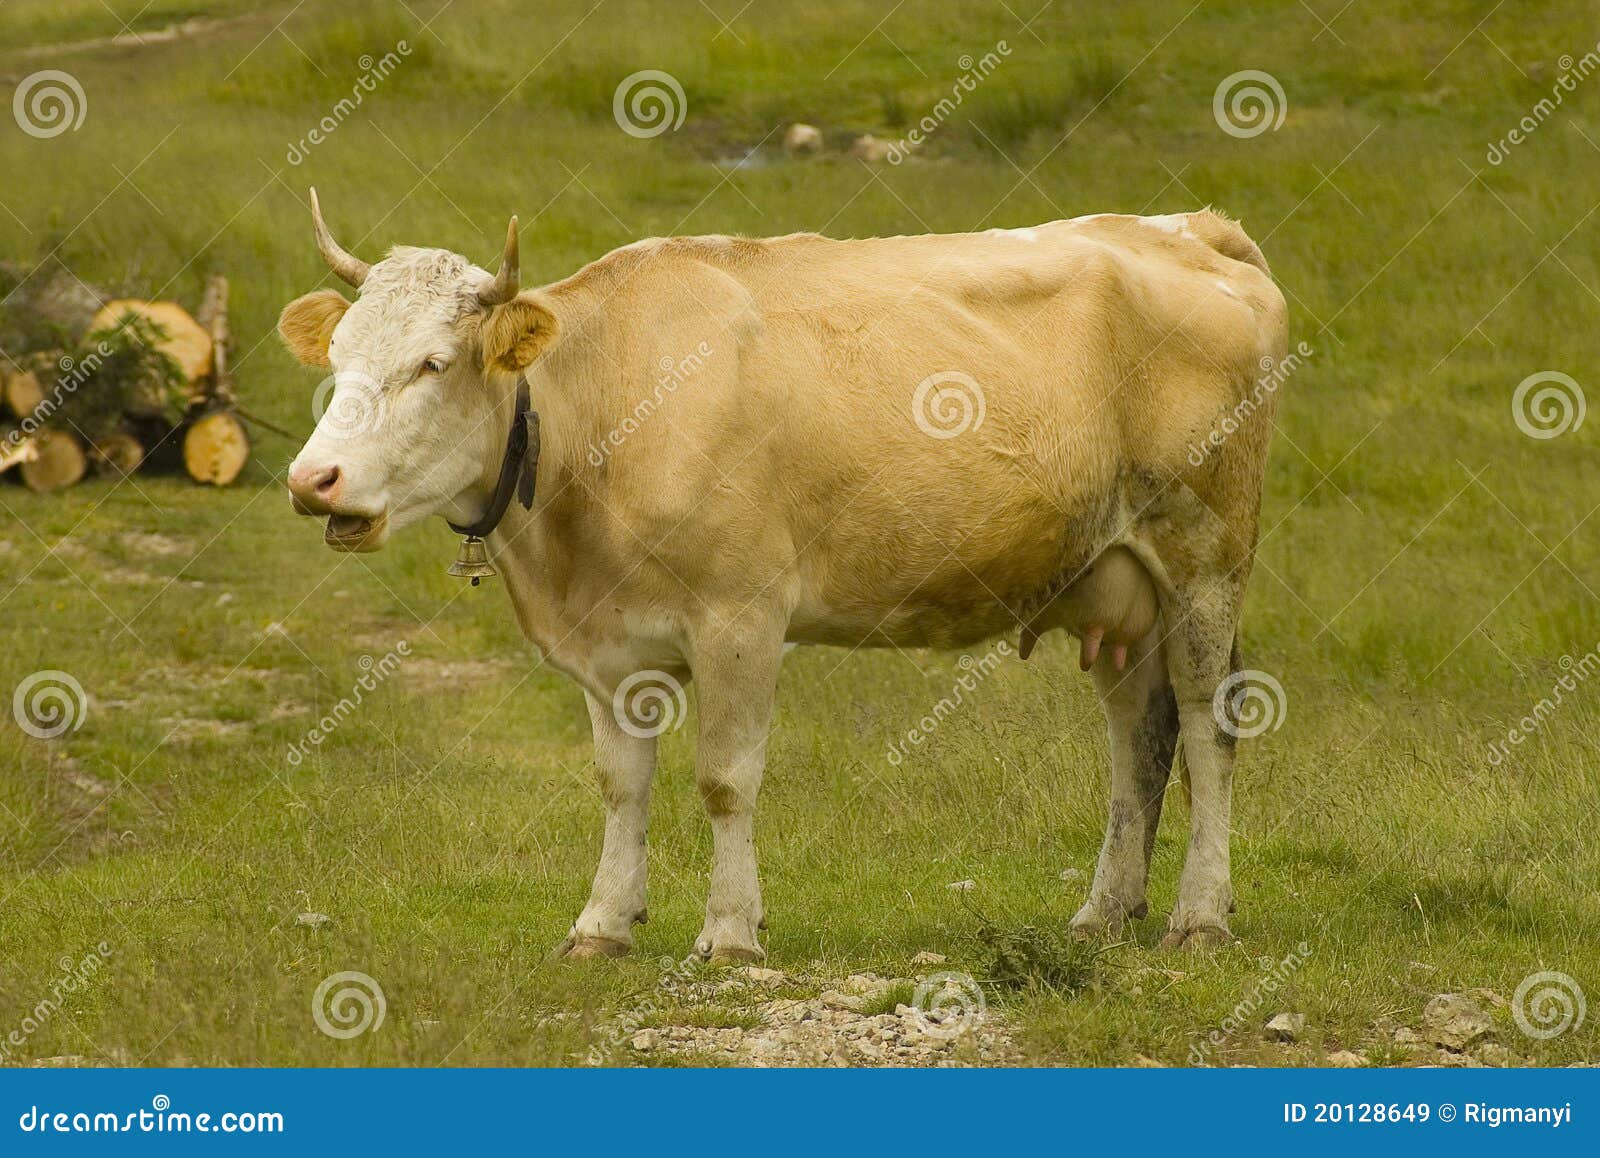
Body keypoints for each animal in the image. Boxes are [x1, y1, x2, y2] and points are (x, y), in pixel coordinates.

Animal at [280, 190, 1288, 962]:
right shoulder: (607, 647)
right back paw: (1103, 913)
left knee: (1208, 729)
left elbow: (725, 779)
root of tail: (1188, 227)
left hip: (1203, 559)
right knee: (1139, 734)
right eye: (339, 358)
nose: (311, 478)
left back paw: (1200, 918)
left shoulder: (741, 616)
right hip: (1114, 582)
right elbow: (620, 784)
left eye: (433, 363)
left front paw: (730, 933)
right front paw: (602, 925)